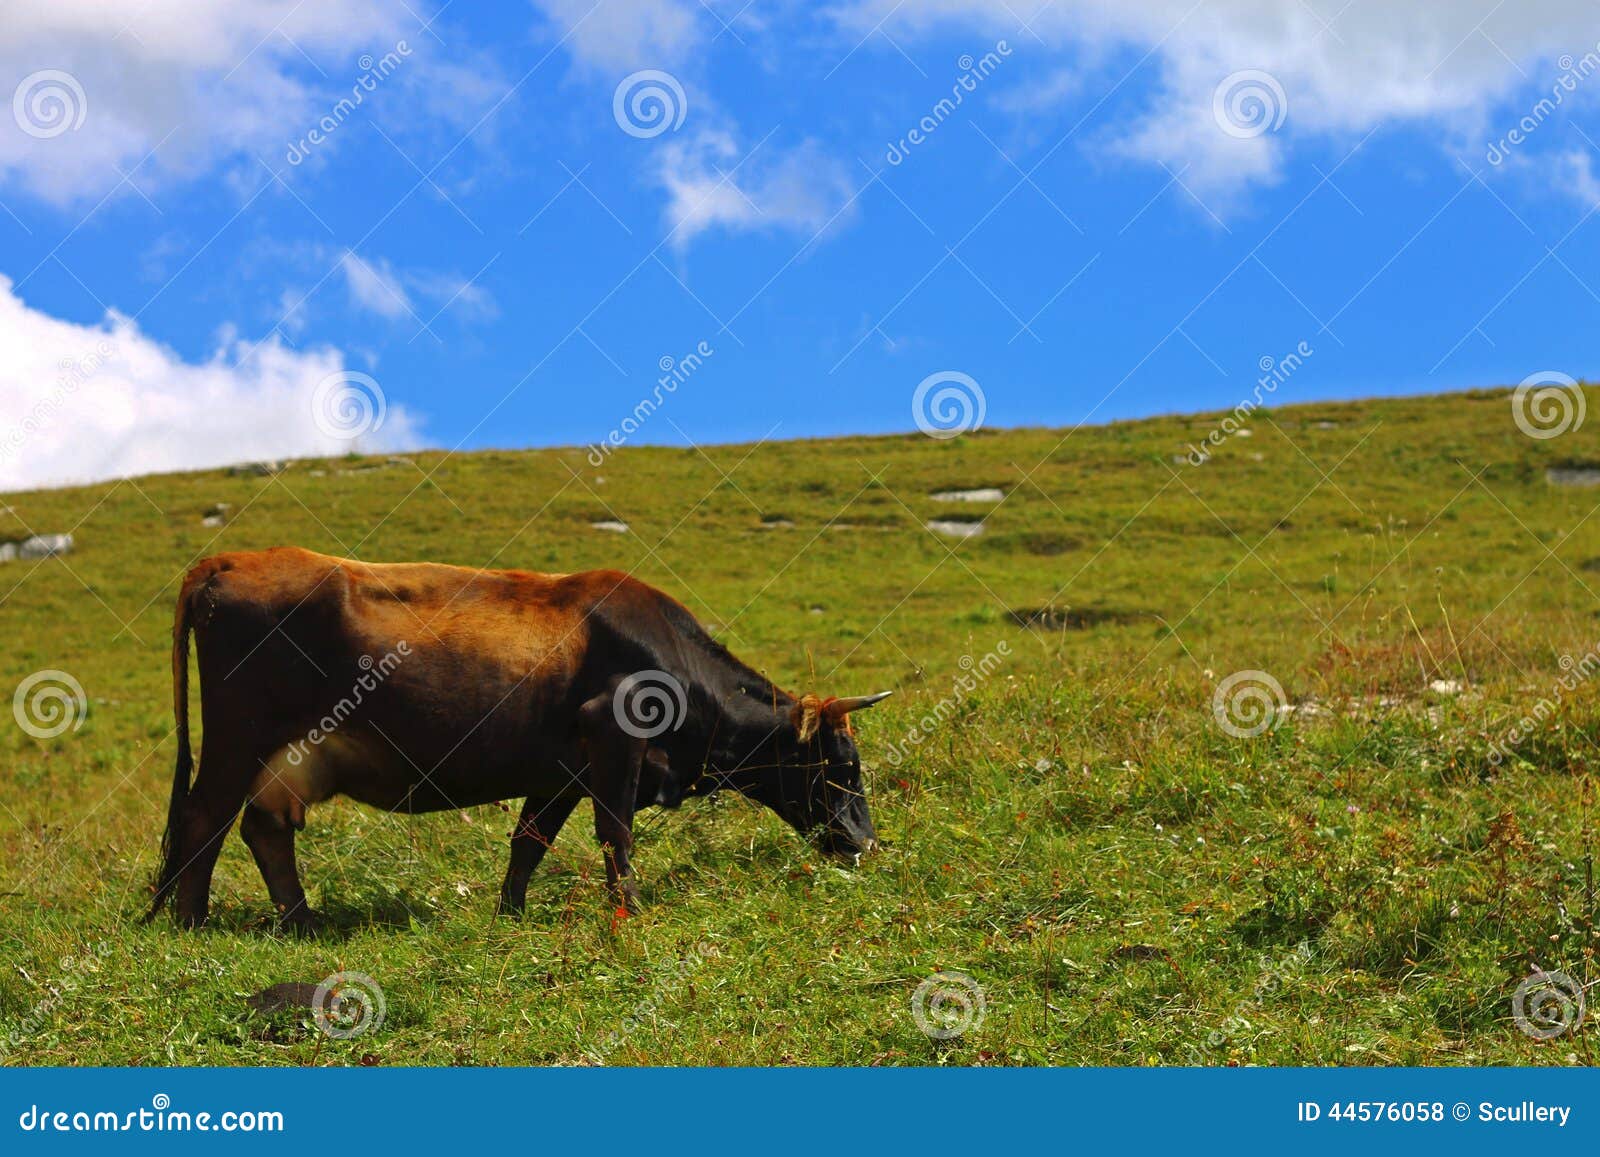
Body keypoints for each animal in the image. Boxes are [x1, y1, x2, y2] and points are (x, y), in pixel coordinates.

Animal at [143, 547, 891, 932]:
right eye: (843, 763)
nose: (864, 843)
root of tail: (231, 559)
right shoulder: (613, 737)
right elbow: (617, 834)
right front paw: (628, 911)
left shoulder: (560, 773)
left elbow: (530, 843)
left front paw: (511, 912)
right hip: (237, 741)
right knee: (205, 821)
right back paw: (193, 922)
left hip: (287, 758)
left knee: (263, 830)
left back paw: (302, 920)